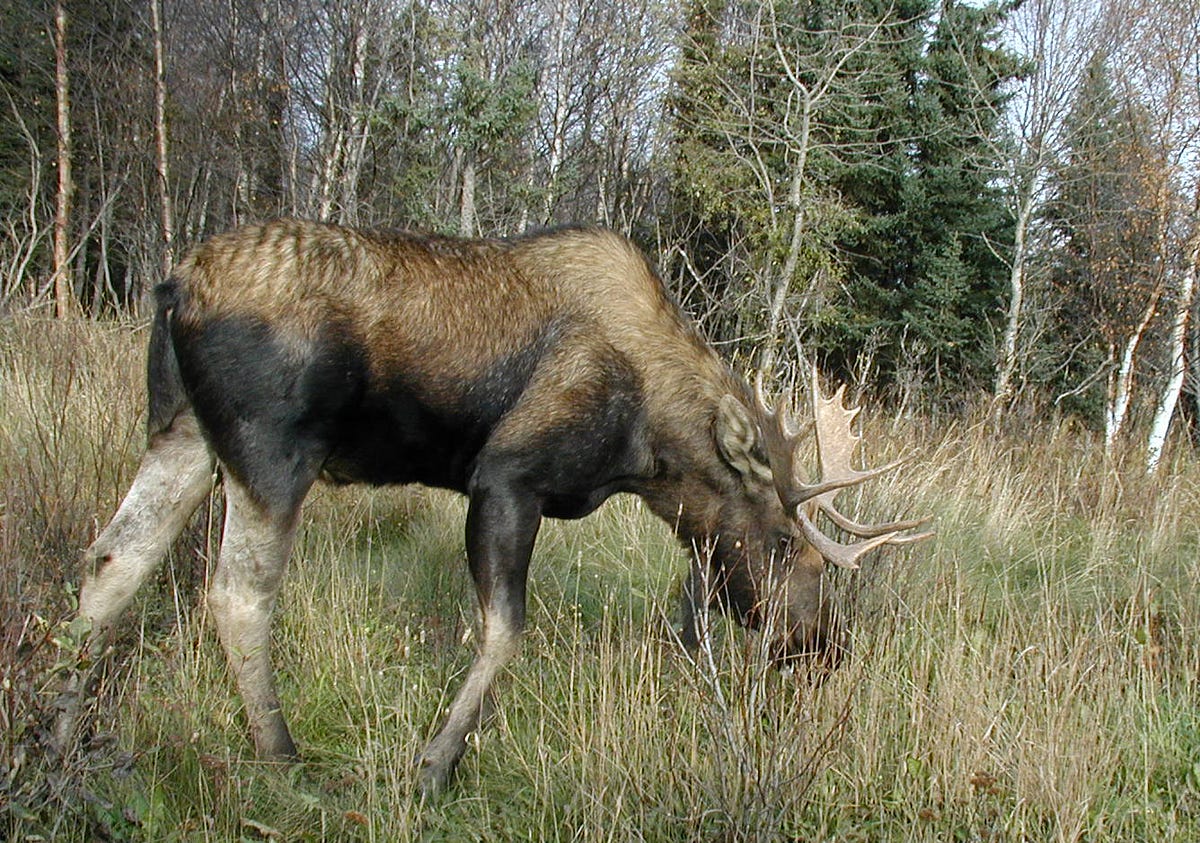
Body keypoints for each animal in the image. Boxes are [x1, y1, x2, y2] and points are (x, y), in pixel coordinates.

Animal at [52, 219, 930, 794]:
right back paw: (282, 757)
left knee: (111, 558)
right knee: (236, 592)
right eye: (785, 540)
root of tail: (174, 287)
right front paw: (433, 765)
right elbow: (507, 628)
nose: (824, 643)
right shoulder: (506, 476)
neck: (648, 447)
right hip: (272, 449)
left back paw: (61, 722)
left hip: (182, 433)